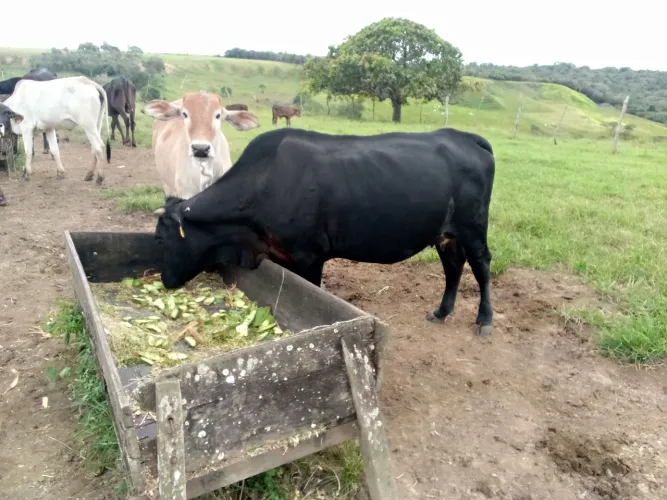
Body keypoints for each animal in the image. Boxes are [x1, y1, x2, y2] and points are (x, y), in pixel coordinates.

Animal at [152, 127, 496, 336]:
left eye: (161, 239)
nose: (165, 281)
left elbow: (311, 294)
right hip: (447, 234)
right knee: (454, 267)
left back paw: (485, 320)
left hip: (473, 228)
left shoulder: (309, 255)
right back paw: (442, 311)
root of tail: (464, 137)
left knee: (481, 265)